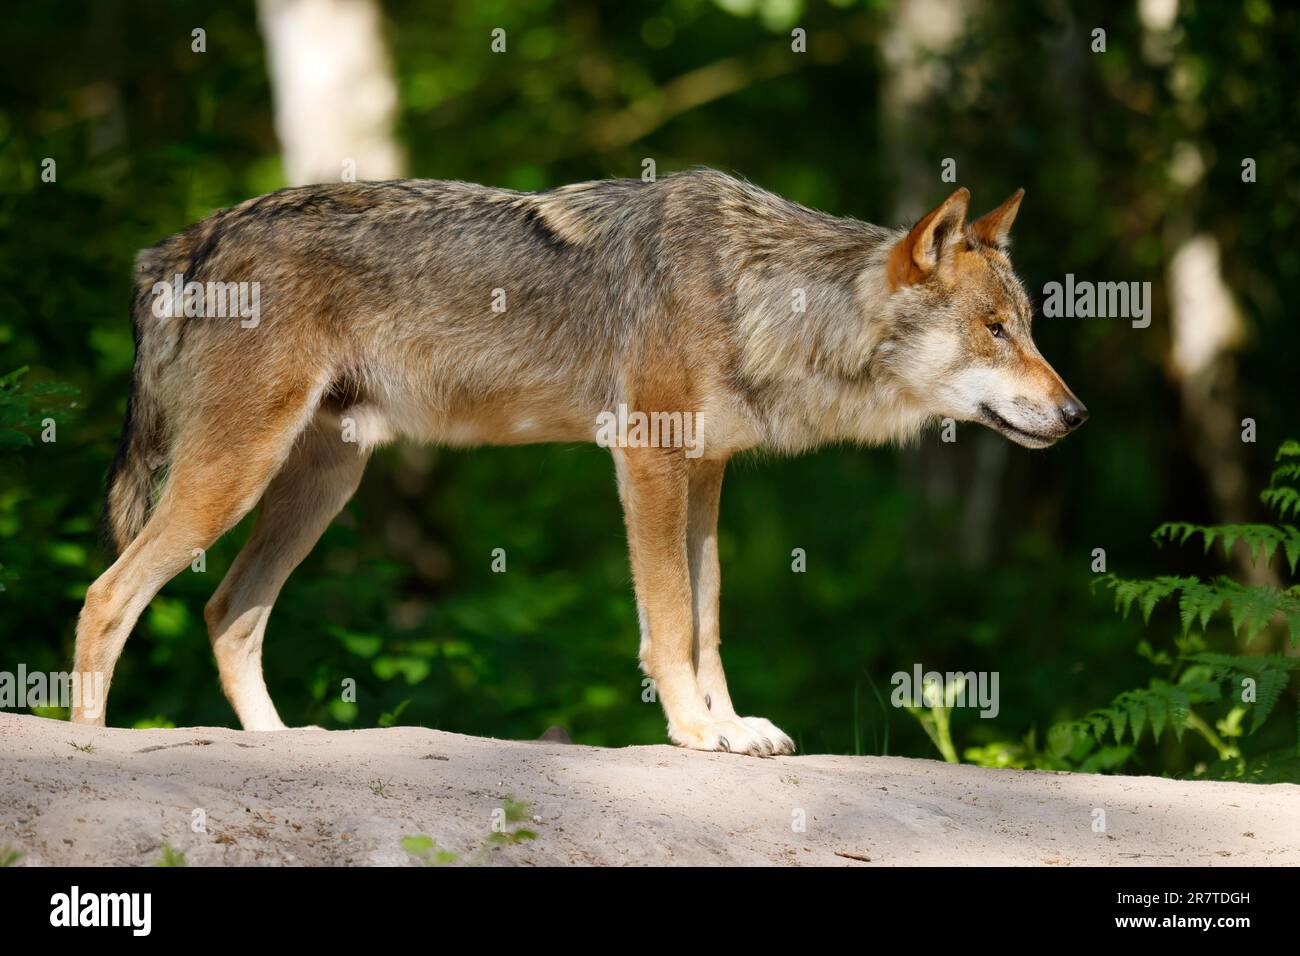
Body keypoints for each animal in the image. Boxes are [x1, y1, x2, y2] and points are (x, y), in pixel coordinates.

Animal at [71, 169, 1086, 755]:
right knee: (108, 594)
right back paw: (90, 750)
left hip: (318, 486)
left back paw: (280, 743)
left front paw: (731, 726)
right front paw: (694, 733)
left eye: (1030, 327)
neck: (762, 296)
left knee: (225, 612)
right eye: (995, 331)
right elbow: (668, 622)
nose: (1077, 416)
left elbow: (709, 621)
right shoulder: (647, 460)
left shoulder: (707, 477)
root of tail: (186, 240)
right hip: (237, 475)